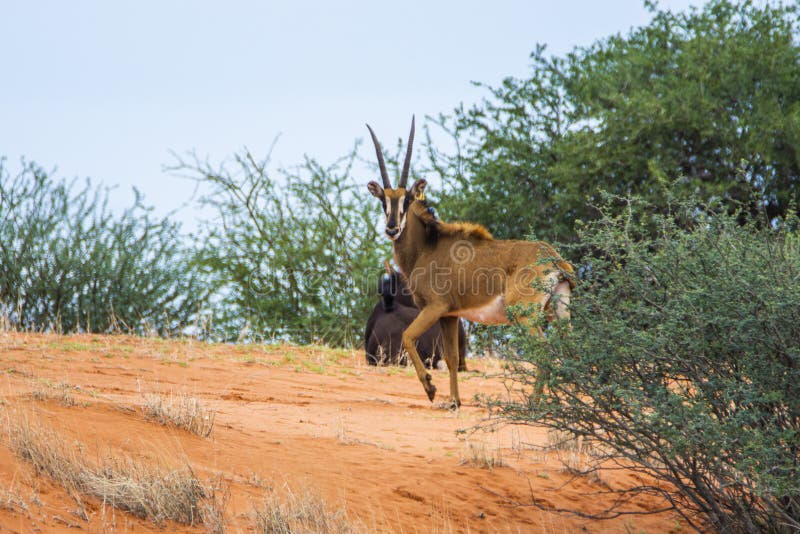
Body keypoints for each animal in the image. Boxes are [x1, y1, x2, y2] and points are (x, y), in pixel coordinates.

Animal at [365, 116, 574, 408]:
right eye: (383, 200)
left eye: (407, 200)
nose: (392, 228)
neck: (428, 245)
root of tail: (555, 260)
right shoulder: (450, 315)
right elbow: (452, 357)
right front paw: (454, 402)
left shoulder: (435, 308)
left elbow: (408, 337)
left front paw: (431, 389)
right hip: (559, 311)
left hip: (525, 314)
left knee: (545, 352)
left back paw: (535, 404)